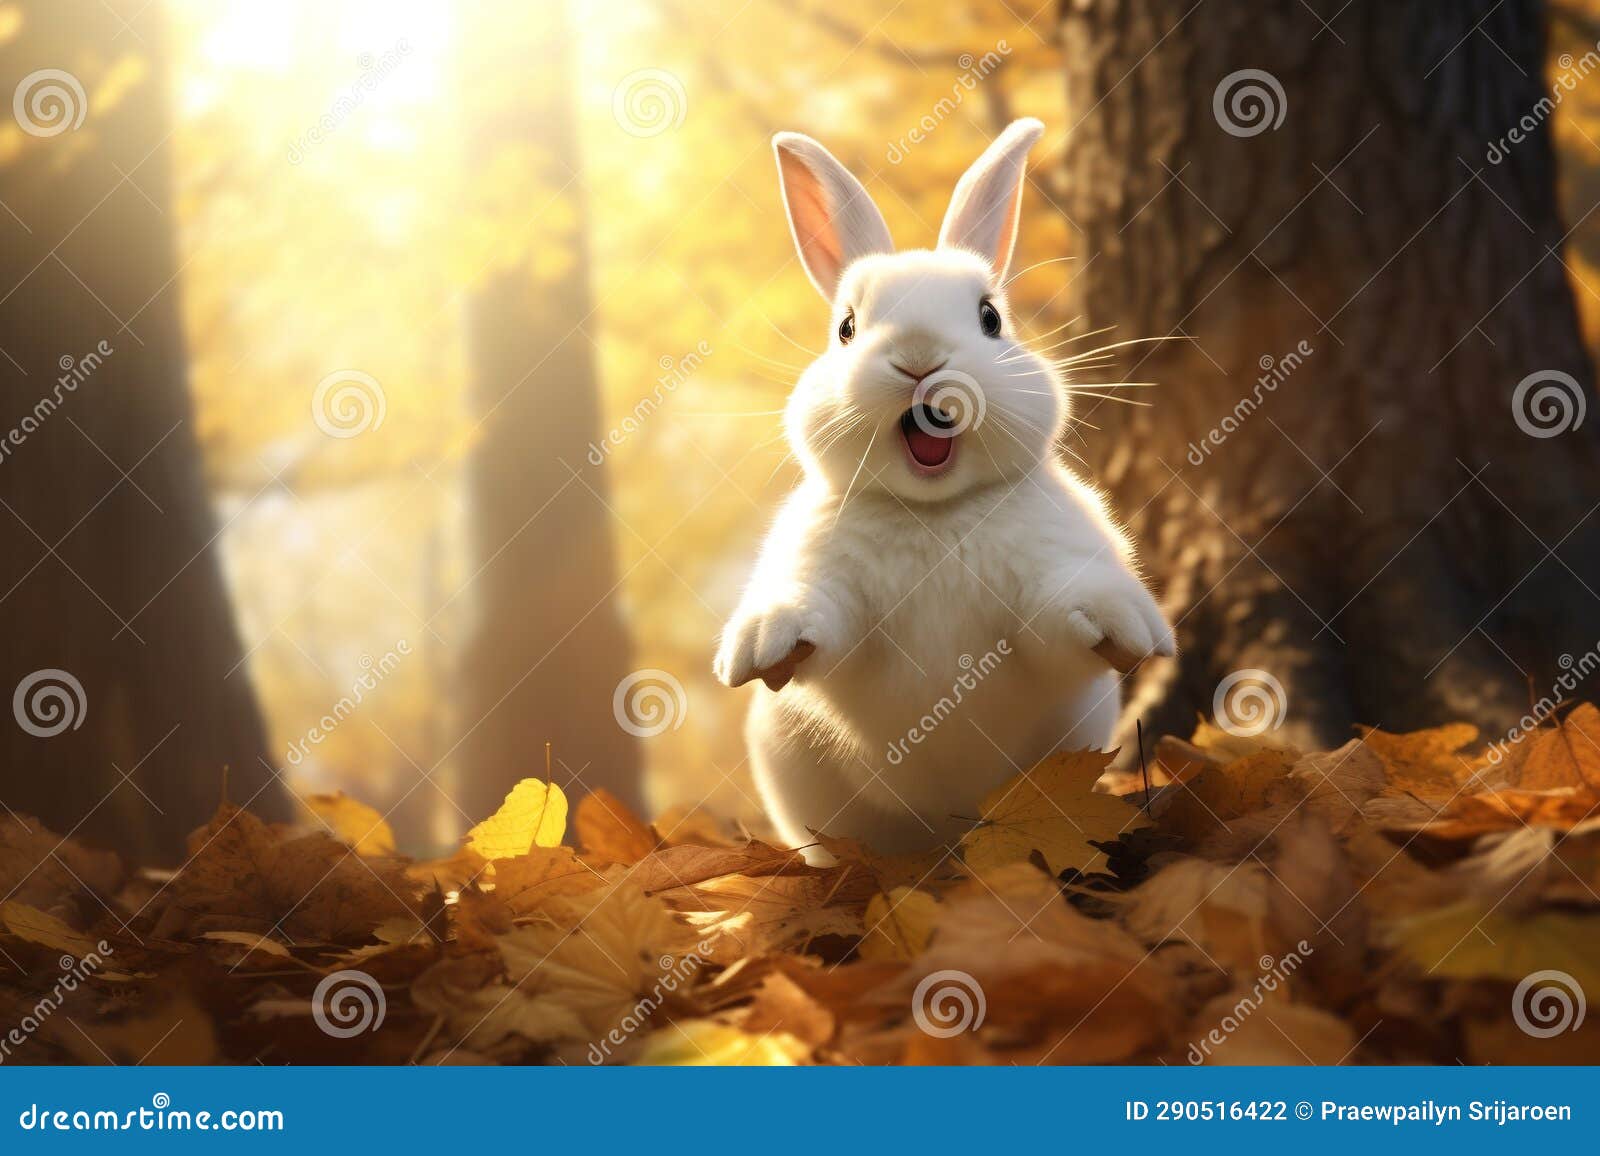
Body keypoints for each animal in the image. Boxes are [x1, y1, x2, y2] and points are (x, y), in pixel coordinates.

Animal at [713, 118, 1174, 860]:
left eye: (990, 319)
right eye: (846, 328)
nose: (919, 356)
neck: (935, 510)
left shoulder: (1050, 579)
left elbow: (1069, 613)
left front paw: (1128, 632)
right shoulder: (826, 583)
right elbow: (814, 617)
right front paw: (767, 648)